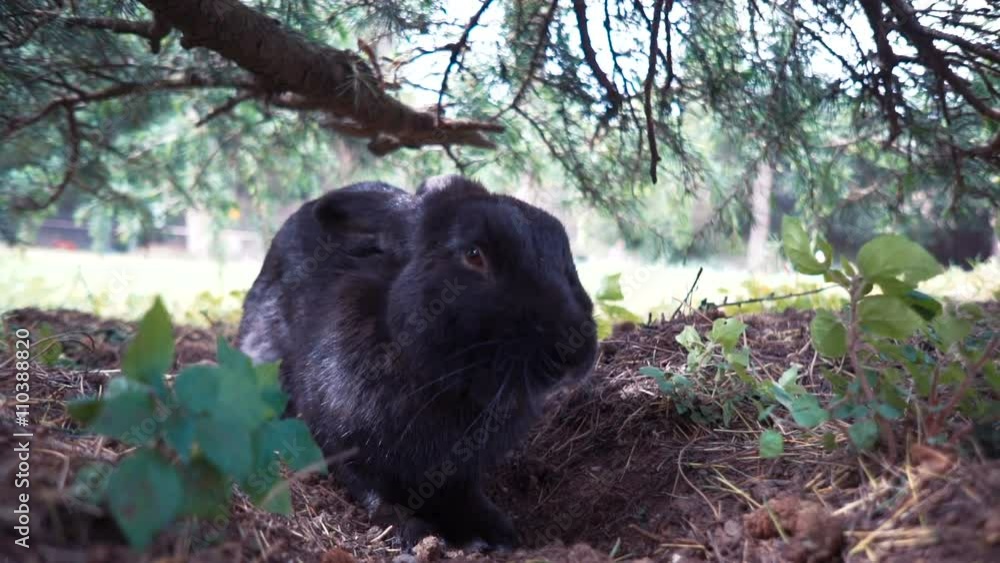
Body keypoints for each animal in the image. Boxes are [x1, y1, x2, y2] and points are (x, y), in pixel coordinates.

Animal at [237, 175, 598, 549]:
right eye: (474, 255)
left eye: (564, 253)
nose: (574, 351)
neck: (445, 381)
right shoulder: (340, 439)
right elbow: (369, 487)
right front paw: (408, 527)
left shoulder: (459, 471)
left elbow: (462, 494)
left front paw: (494, 532)